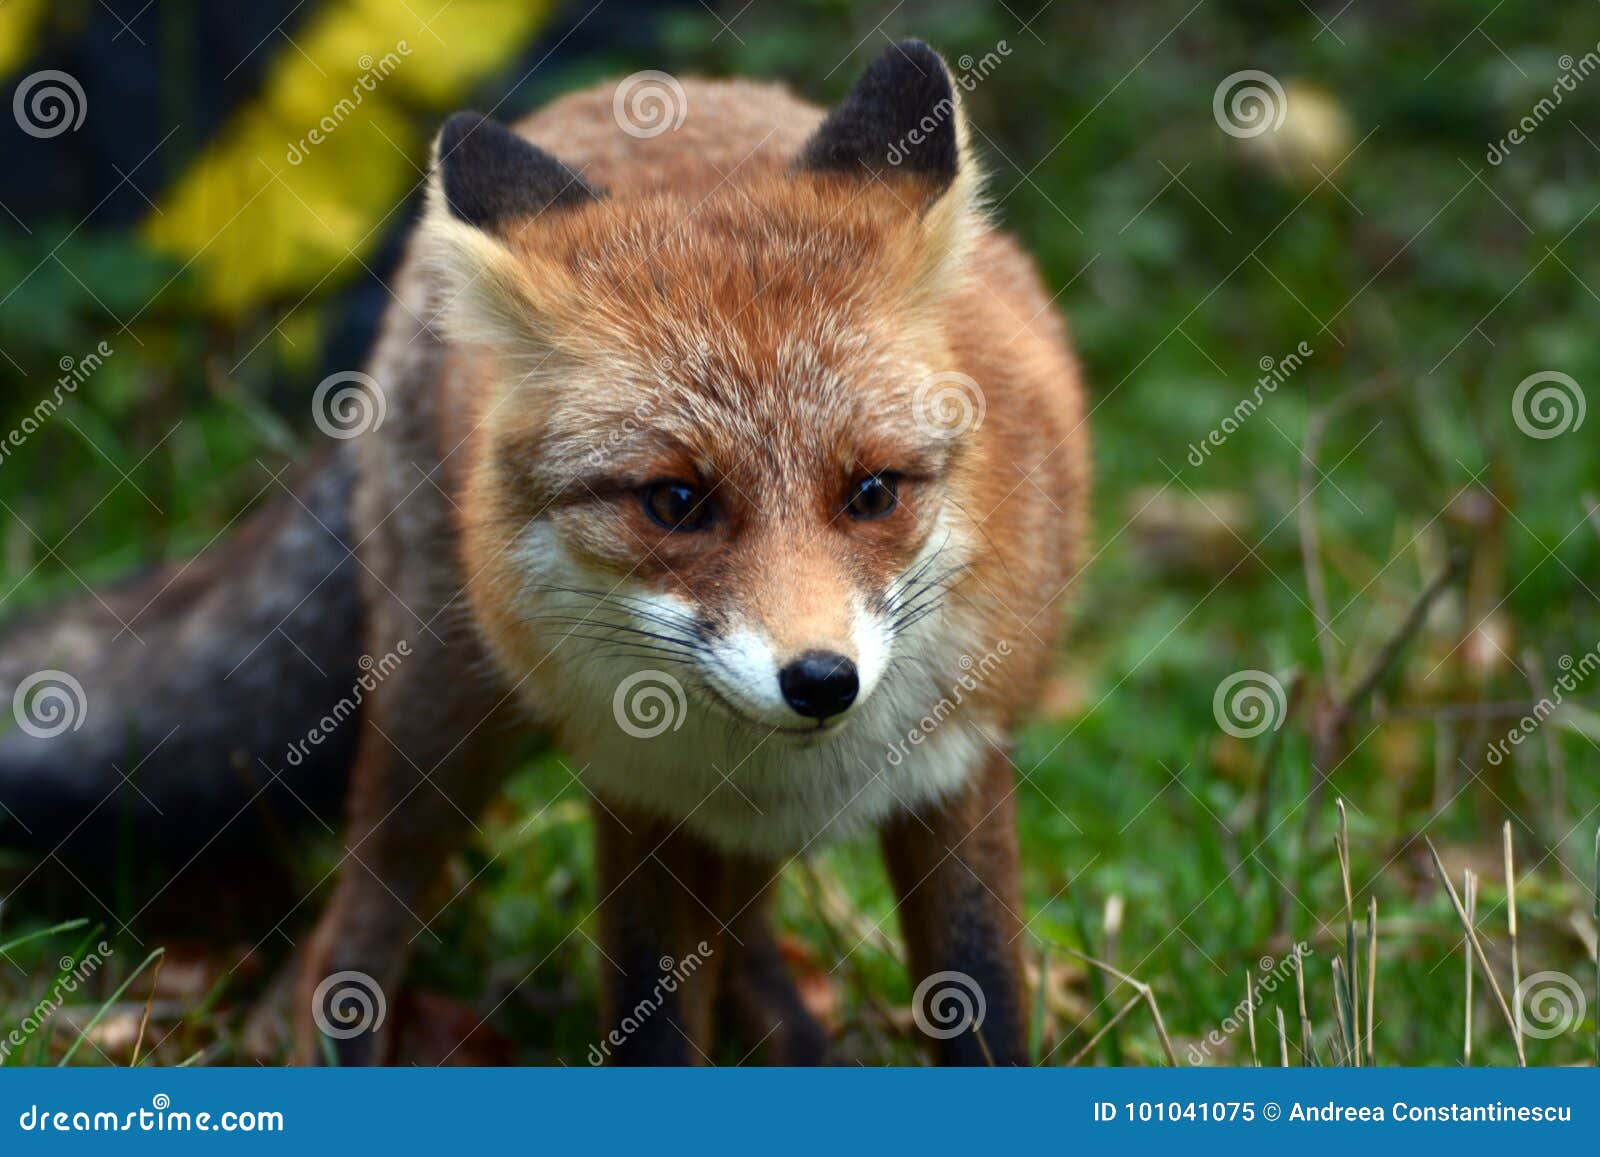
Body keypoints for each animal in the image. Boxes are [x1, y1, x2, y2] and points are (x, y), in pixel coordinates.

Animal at [0, 40, 1088, 1065]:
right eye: (674, 501)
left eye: (871, 493)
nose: (821, 679)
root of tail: (624, 92)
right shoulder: (635, 793)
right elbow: (650, 1022)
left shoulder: (959, 766)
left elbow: (984, 1002)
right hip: (440, 716)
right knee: (353, 924)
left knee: (744, 930)